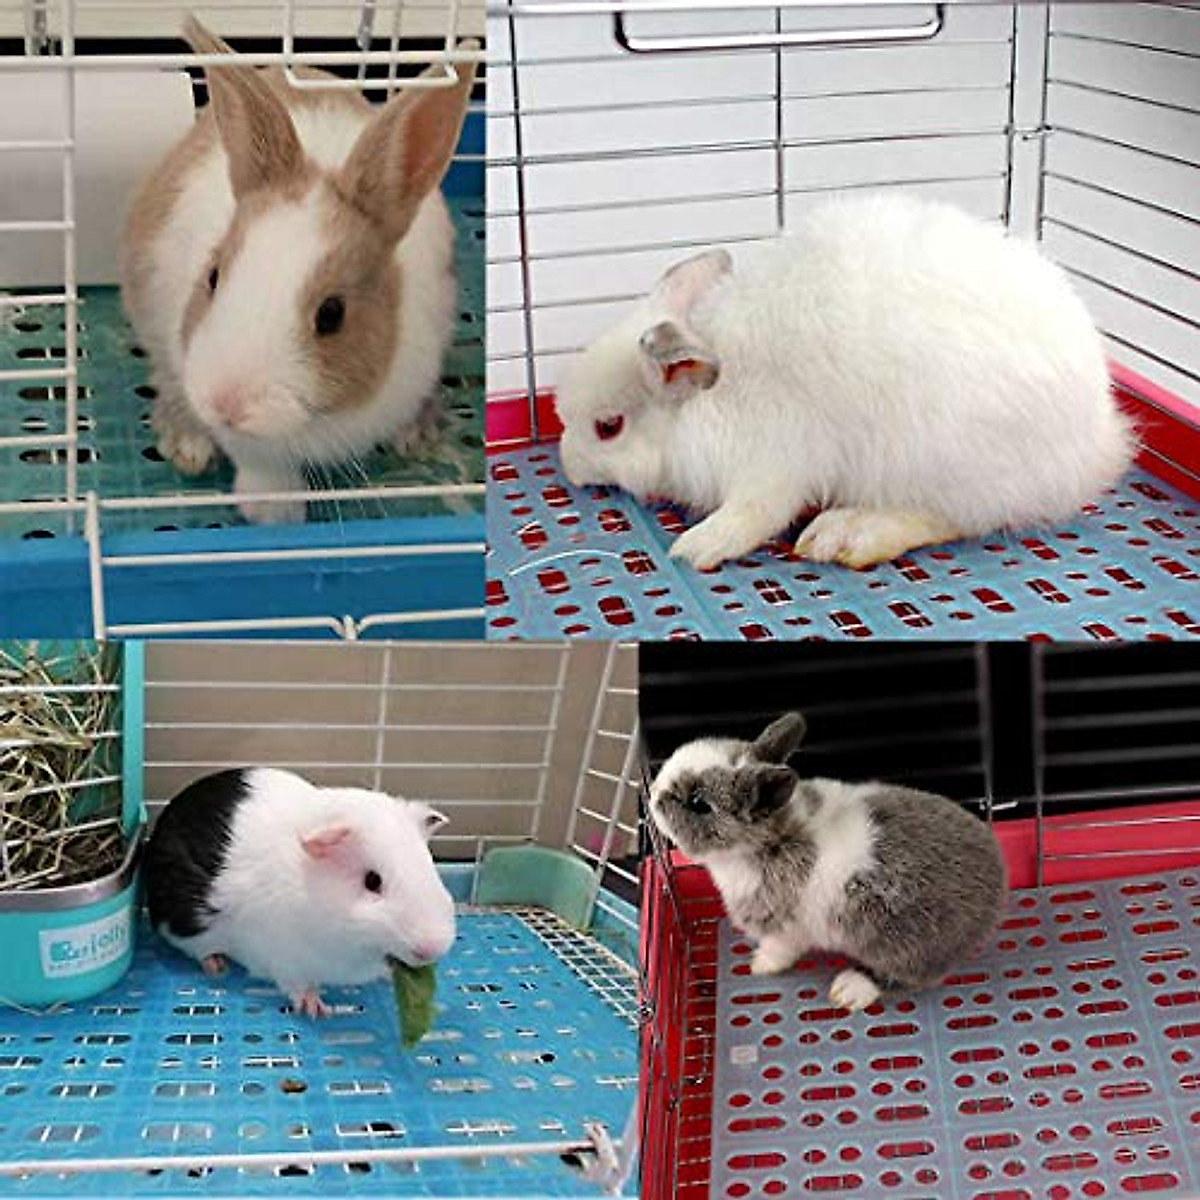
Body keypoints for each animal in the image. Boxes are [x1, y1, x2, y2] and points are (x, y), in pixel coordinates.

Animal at [120, 18, 478, 524]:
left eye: (332, 314)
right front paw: (273, 509)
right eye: (212, 276)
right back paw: (187, 442)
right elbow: (258, 458)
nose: (226, 402)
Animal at [142, 766, 456, 1018]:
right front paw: (317, 1010)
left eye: (428, 864)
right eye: (372, 881)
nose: (432, 949)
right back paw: (216, 967)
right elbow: (298, 985)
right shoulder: (285, 959)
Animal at [556, 193, 1134, 569]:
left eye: (608, 427)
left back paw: (845, 536)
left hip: (944, 465)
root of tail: (1097, 443)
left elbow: (755, 512)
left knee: (950, 518)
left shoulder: (774, 464)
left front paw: (698, 546)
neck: (711, 400)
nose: (569, 468)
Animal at [648, 712, 1007, 1011]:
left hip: (907, 946)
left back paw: (850, 989)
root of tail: (996, 888)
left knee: (906, 977)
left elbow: (780, 950)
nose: (651, 796)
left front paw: (759, 965)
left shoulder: (786, 930)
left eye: (699, 803)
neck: (771, 839)